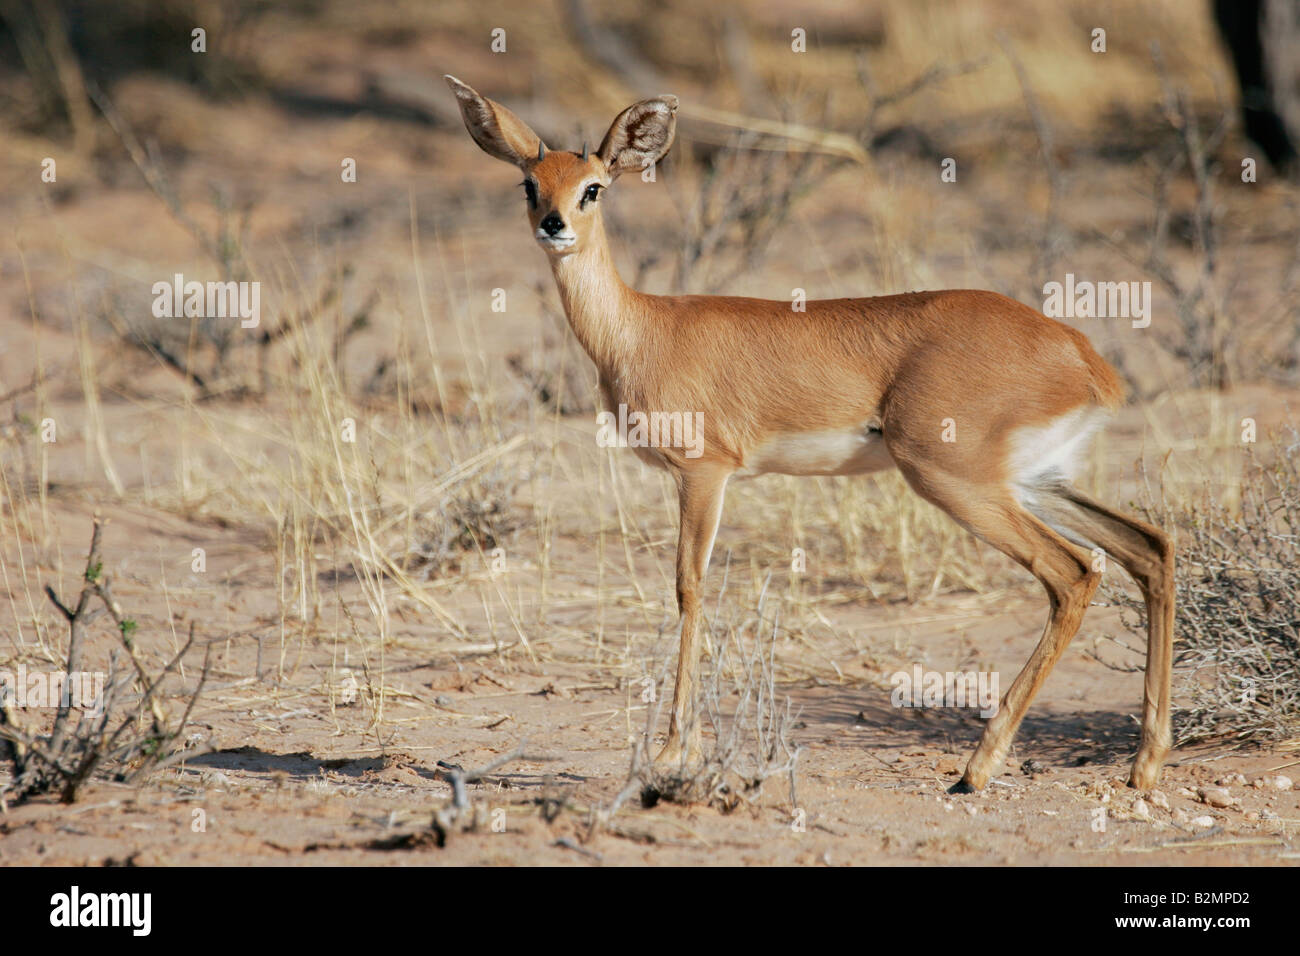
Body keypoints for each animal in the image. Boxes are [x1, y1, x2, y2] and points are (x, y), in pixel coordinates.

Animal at [444, 76, 1175, 793]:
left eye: (593, 186)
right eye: (530, 184)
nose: (554, 225)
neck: (642, 330)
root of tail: (1081, 355)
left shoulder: (704, 473)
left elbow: (688, 588)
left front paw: (676, 750)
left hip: (956, 481)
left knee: (1074, 573)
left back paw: (978, 768)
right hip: (1036, 482)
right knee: (1149, 548)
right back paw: (1143, 766)